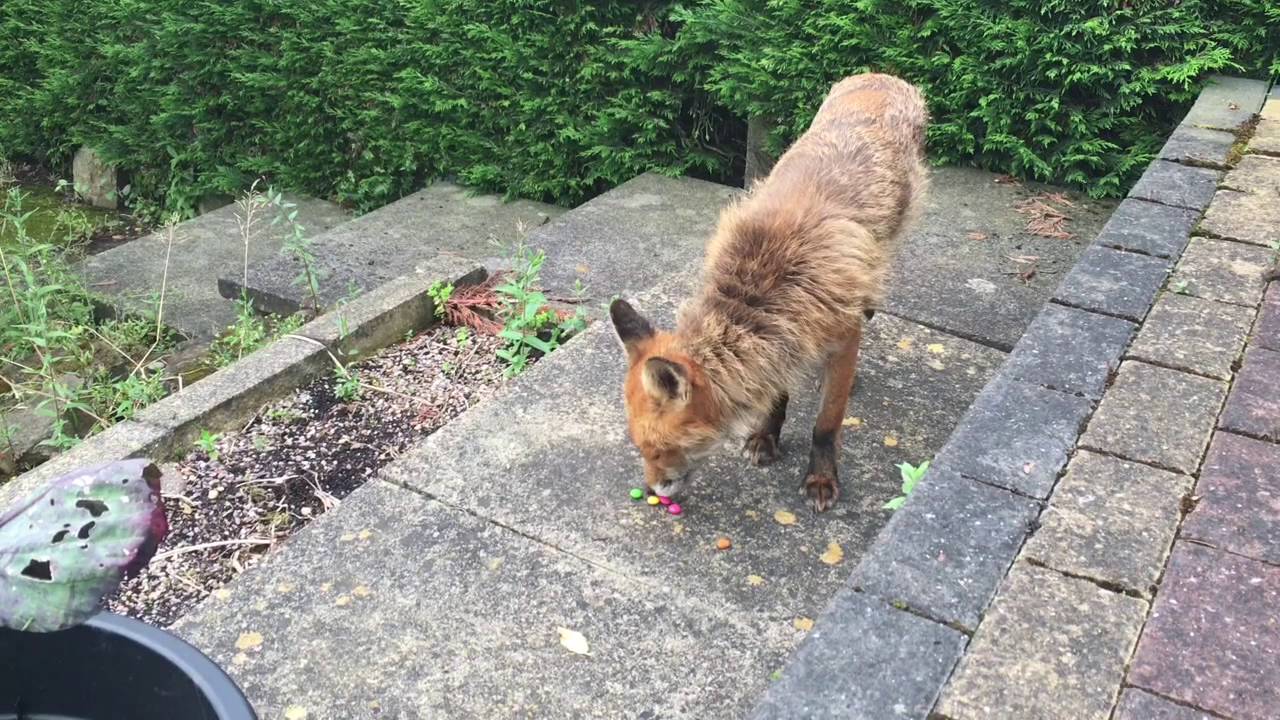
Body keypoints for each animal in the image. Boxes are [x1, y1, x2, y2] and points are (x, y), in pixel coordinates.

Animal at [608, 73, 929, 512]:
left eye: (658, 448)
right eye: (639, 448)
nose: (655, 489)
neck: (765, 280)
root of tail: (880, 75)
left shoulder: (839, 336)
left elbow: (826, 424)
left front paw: (821, 477)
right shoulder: (783, 340)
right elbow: (776, 393)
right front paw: (766, 434)